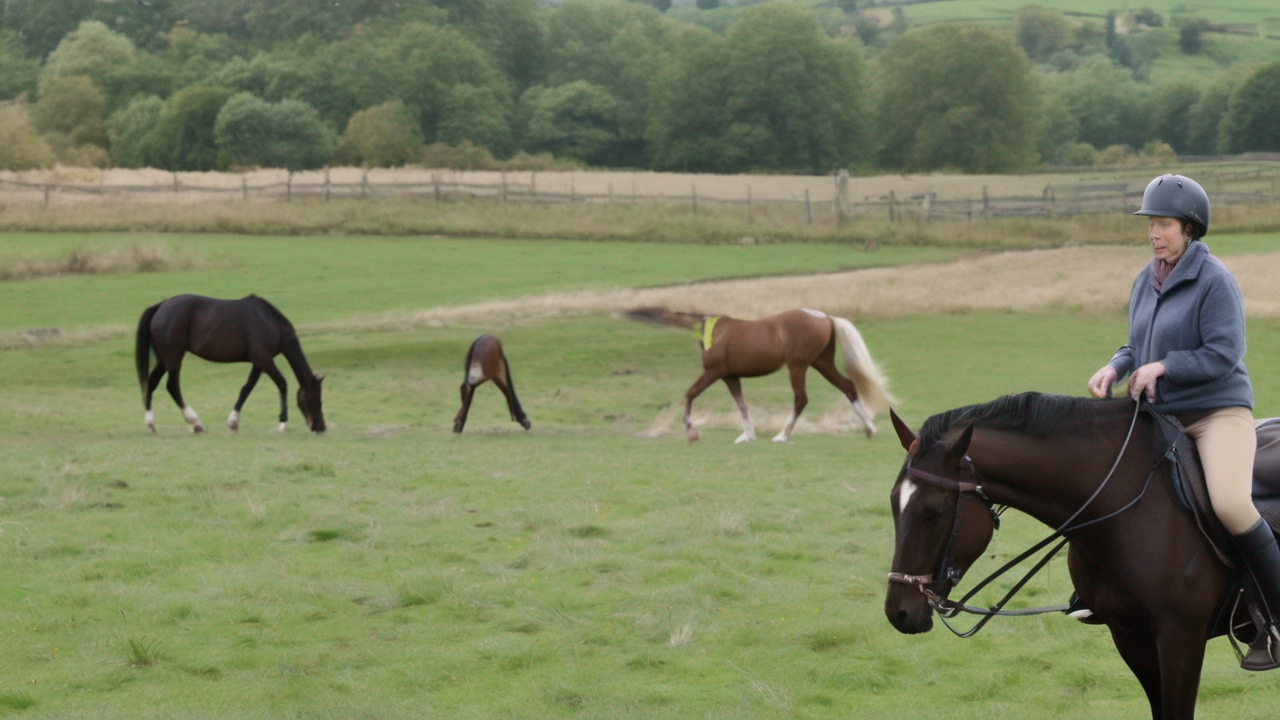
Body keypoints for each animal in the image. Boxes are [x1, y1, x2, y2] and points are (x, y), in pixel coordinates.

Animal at [133, 295, 325, 435]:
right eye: (316, 399)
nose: (321, 427)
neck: (269, 322)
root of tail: (161, 305)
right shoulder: (264, 360)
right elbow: (282, 384)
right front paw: (283, 422)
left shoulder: (259, 362)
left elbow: (247, 388)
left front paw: (233, 421)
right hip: (173, 358)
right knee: (172, 386)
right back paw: (196, 423)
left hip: (163, 360)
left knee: (152, 382)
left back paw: (150, 422)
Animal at [624, 304, 896, 440]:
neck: (713, 332)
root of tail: (826, 317)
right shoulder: (730, 377)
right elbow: (741, 405)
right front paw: (747, 435)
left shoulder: (714, 372)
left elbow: (690, 394)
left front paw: (691, 428)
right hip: (821, 363)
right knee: (848, 386)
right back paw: (869, 428)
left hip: (798, 367)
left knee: (801, 399)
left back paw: (783, 435)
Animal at [885, 392, 1264, 717]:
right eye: (893, 503)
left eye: (932, 513)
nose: (897, 613)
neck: (1128, 507)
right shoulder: (1131, 637)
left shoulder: (1180, 639)